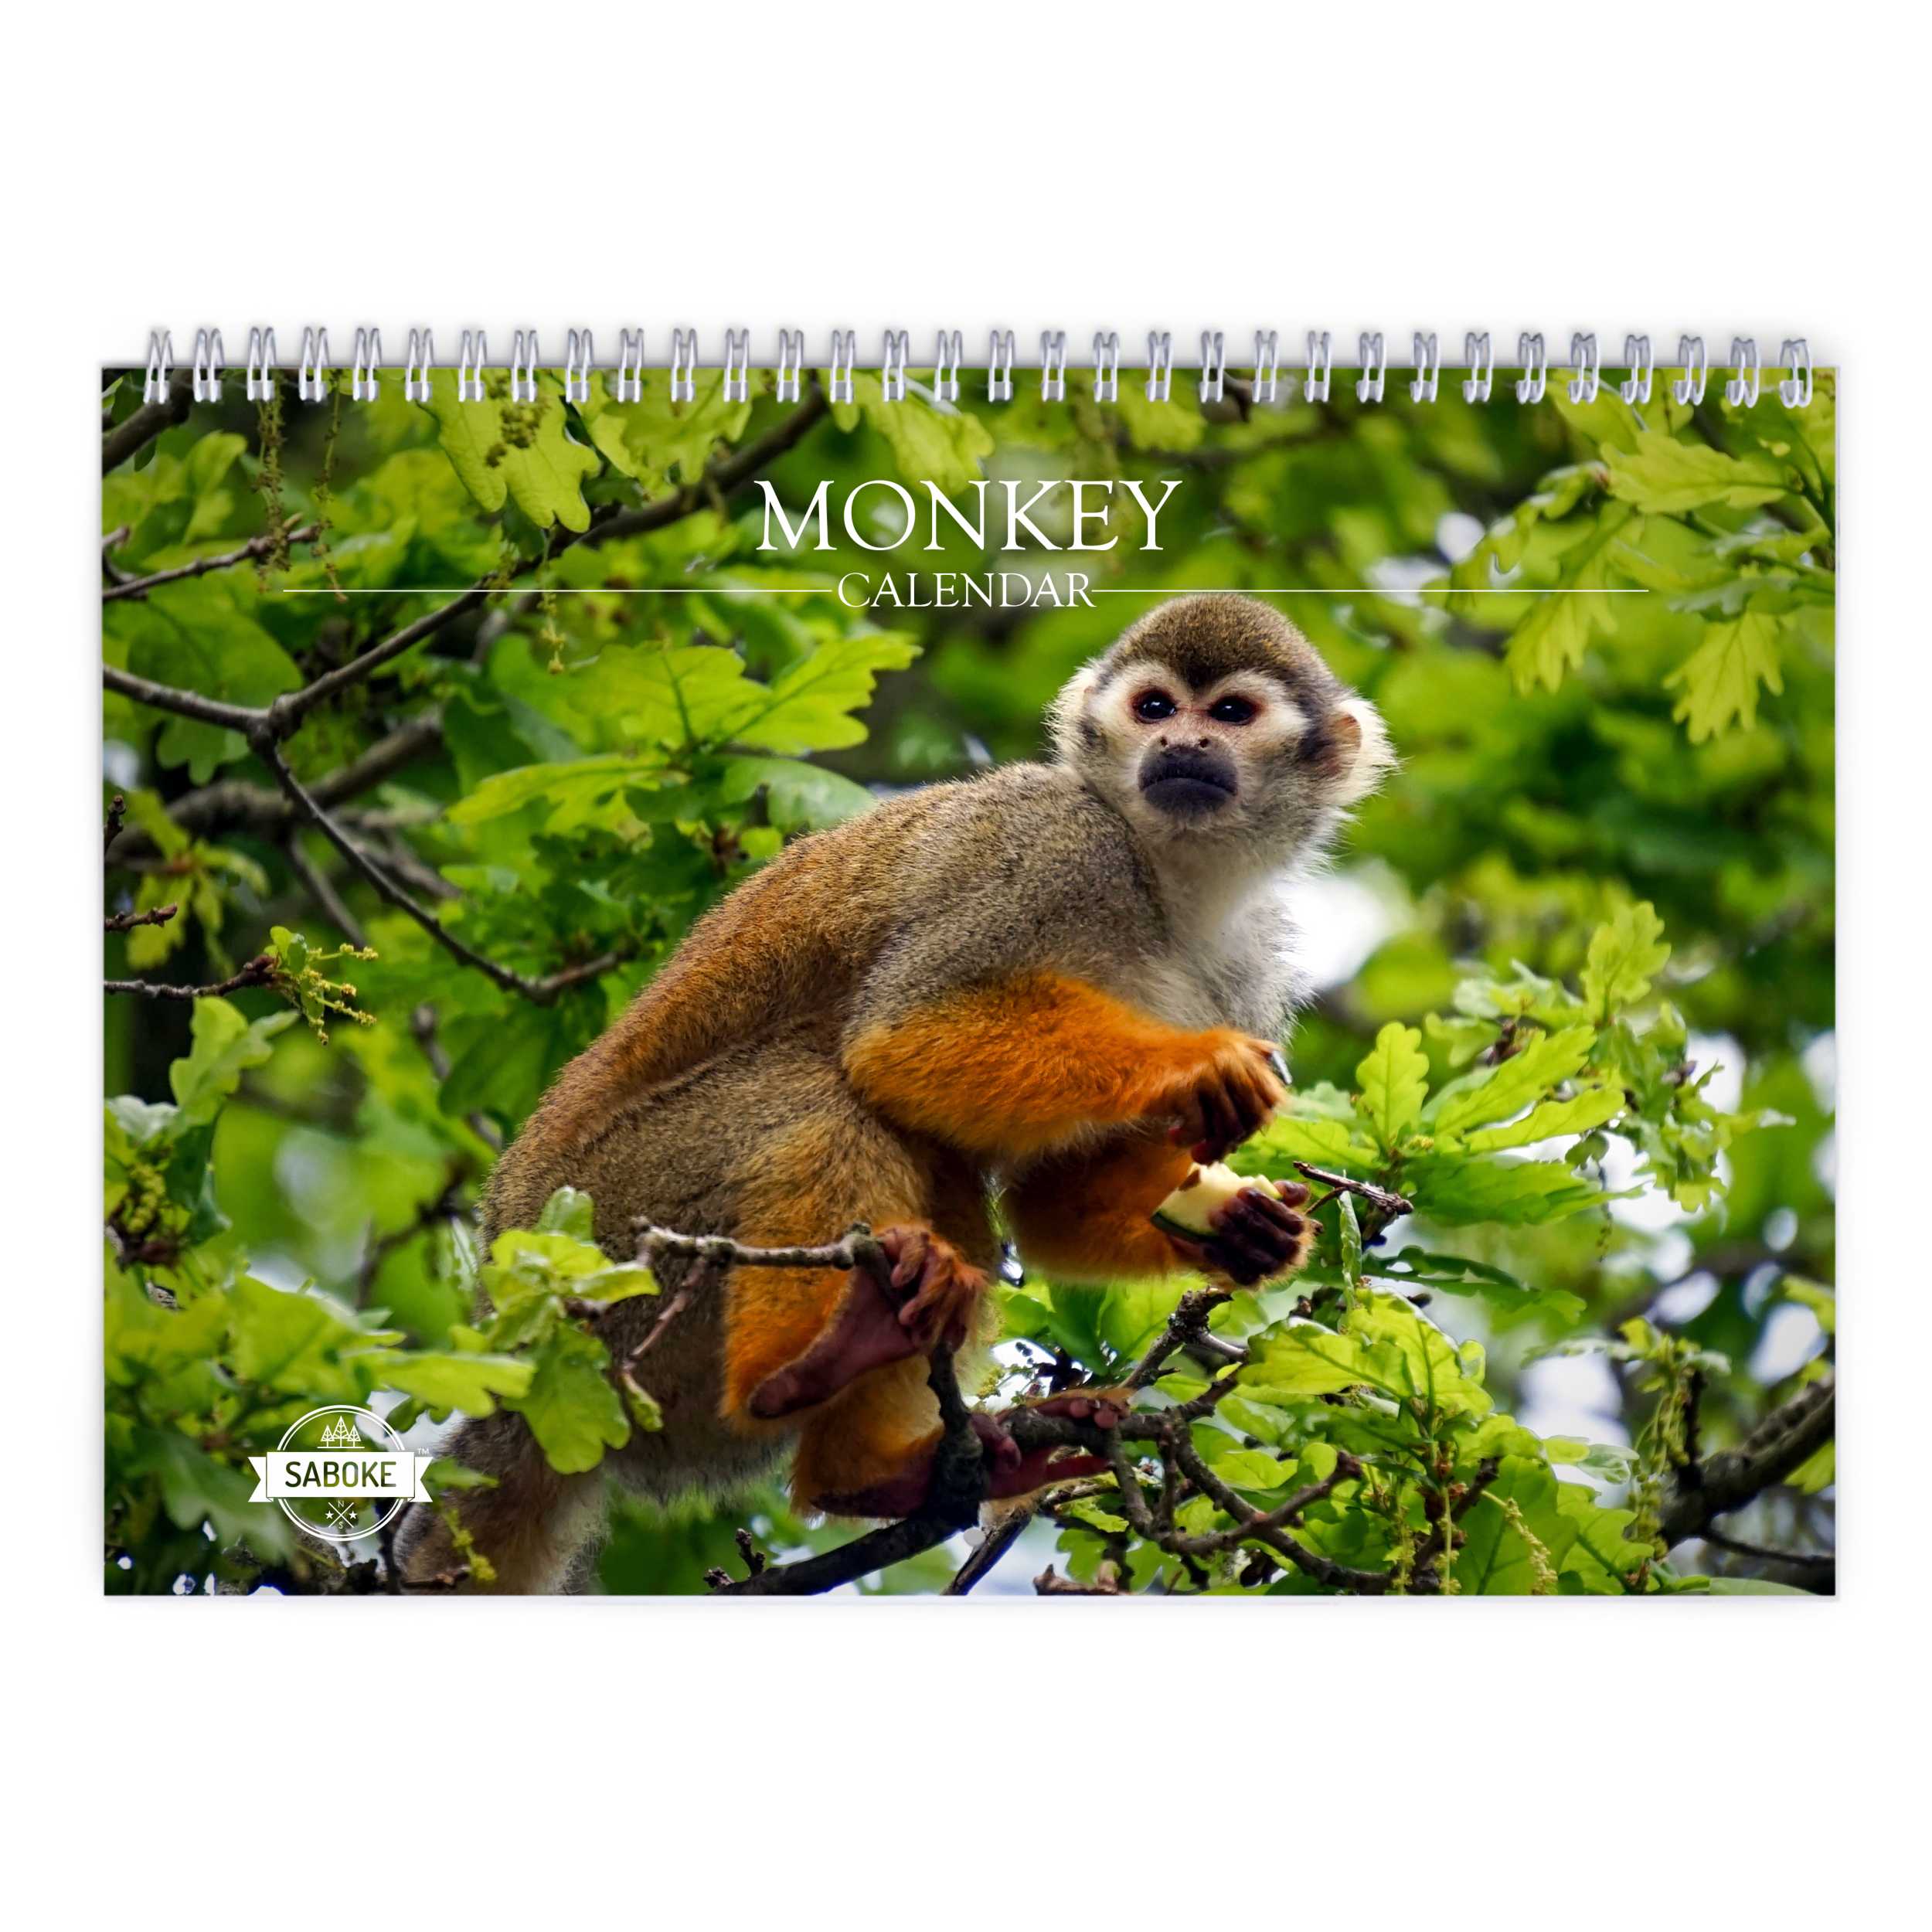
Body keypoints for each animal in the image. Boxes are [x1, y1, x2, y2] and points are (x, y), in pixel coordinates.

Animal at [393, 593, 1393, 1592]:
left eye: (1229, 713)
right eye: (1154, 708)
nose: (1183, 744)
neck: (1168, 878)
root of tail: (518, 1347)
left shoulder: (1252, 964)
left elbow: (1046, 1204)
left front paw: (1237, 1228)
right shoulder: (1052, 844)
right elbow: (898, 1038)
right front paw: (1196, 1064)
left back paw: (875, 1465)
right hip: (604, 1242)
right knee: (819, 1093)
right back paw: (802, 1366)